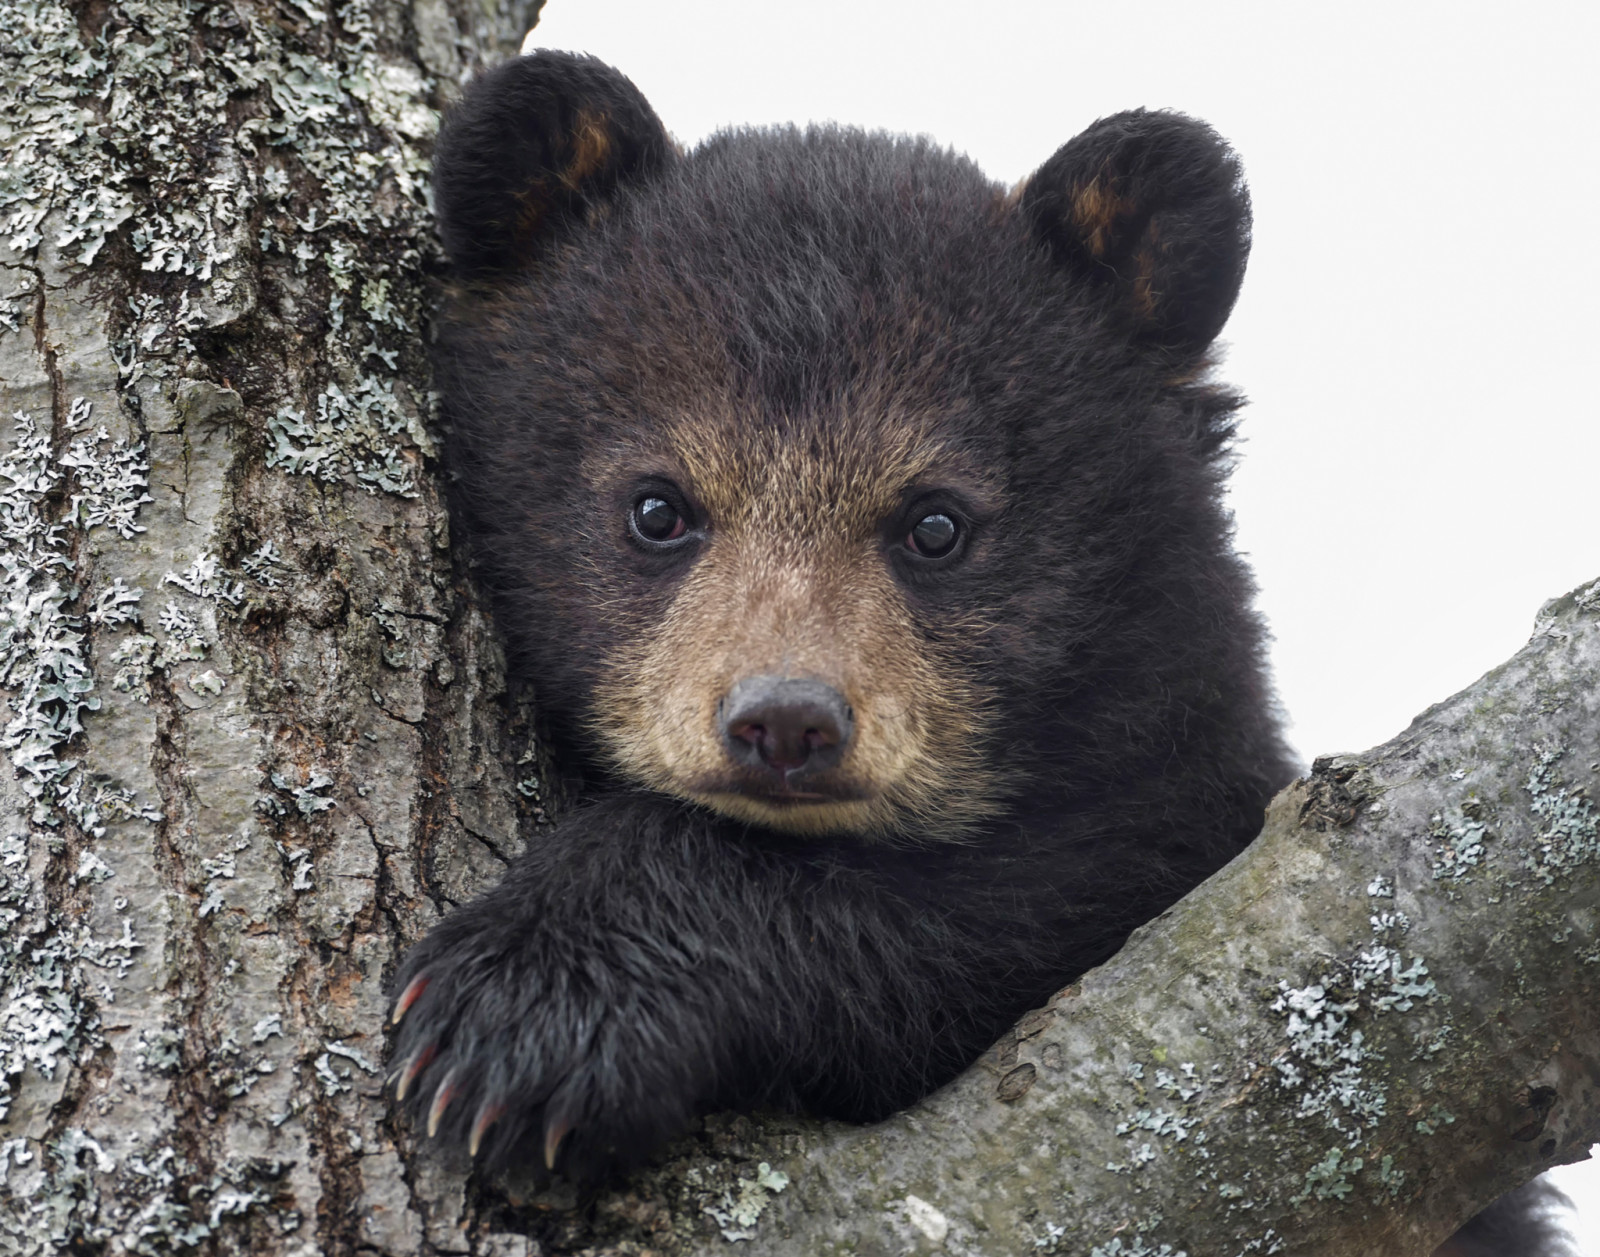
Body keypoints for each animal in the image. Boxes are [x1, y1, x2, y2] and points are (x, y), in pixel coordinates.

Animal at [390, 49, 1572, 1250]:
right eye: (657, 507)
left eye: (936, 523)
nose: (786, 720)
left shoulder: (1178, 813)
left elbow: (1014, 910)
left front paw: (523, 1012)